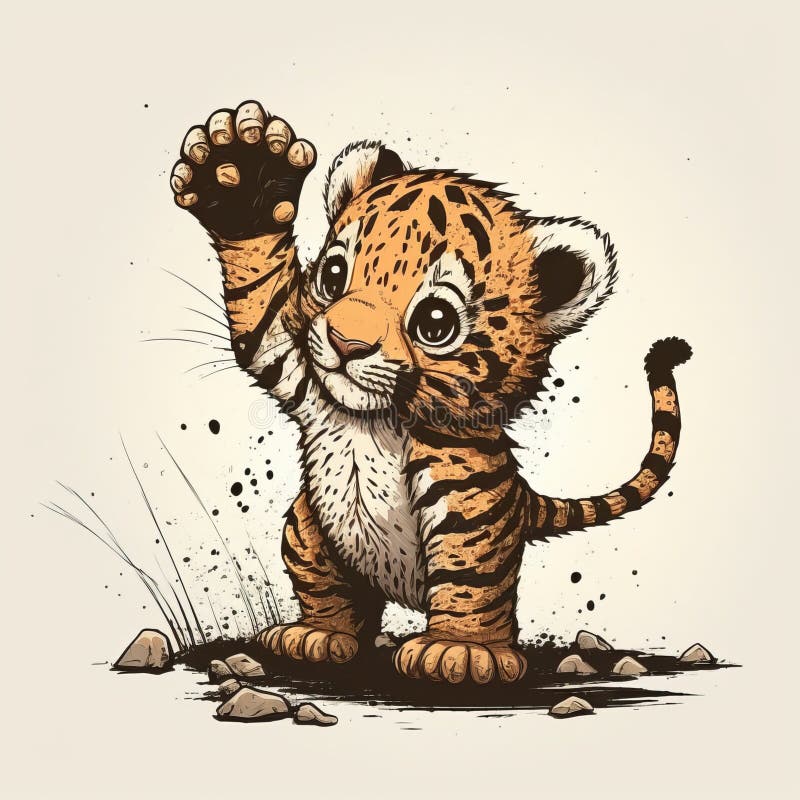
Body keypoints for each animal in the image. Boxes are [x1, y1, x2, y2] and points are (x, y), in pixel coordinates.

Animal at [170, 99, 692, 684]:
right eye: (333, 275)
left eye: (435, 322)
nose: (345, 341)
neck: (372, 420)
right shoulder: (296, 364)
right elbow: (262, 299)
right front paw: (242, 169)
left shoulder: (469, 501)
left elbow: (469, 576)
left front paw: (459, 652)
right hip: (307, 529)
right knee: (335, 598)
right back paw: (317, 636)